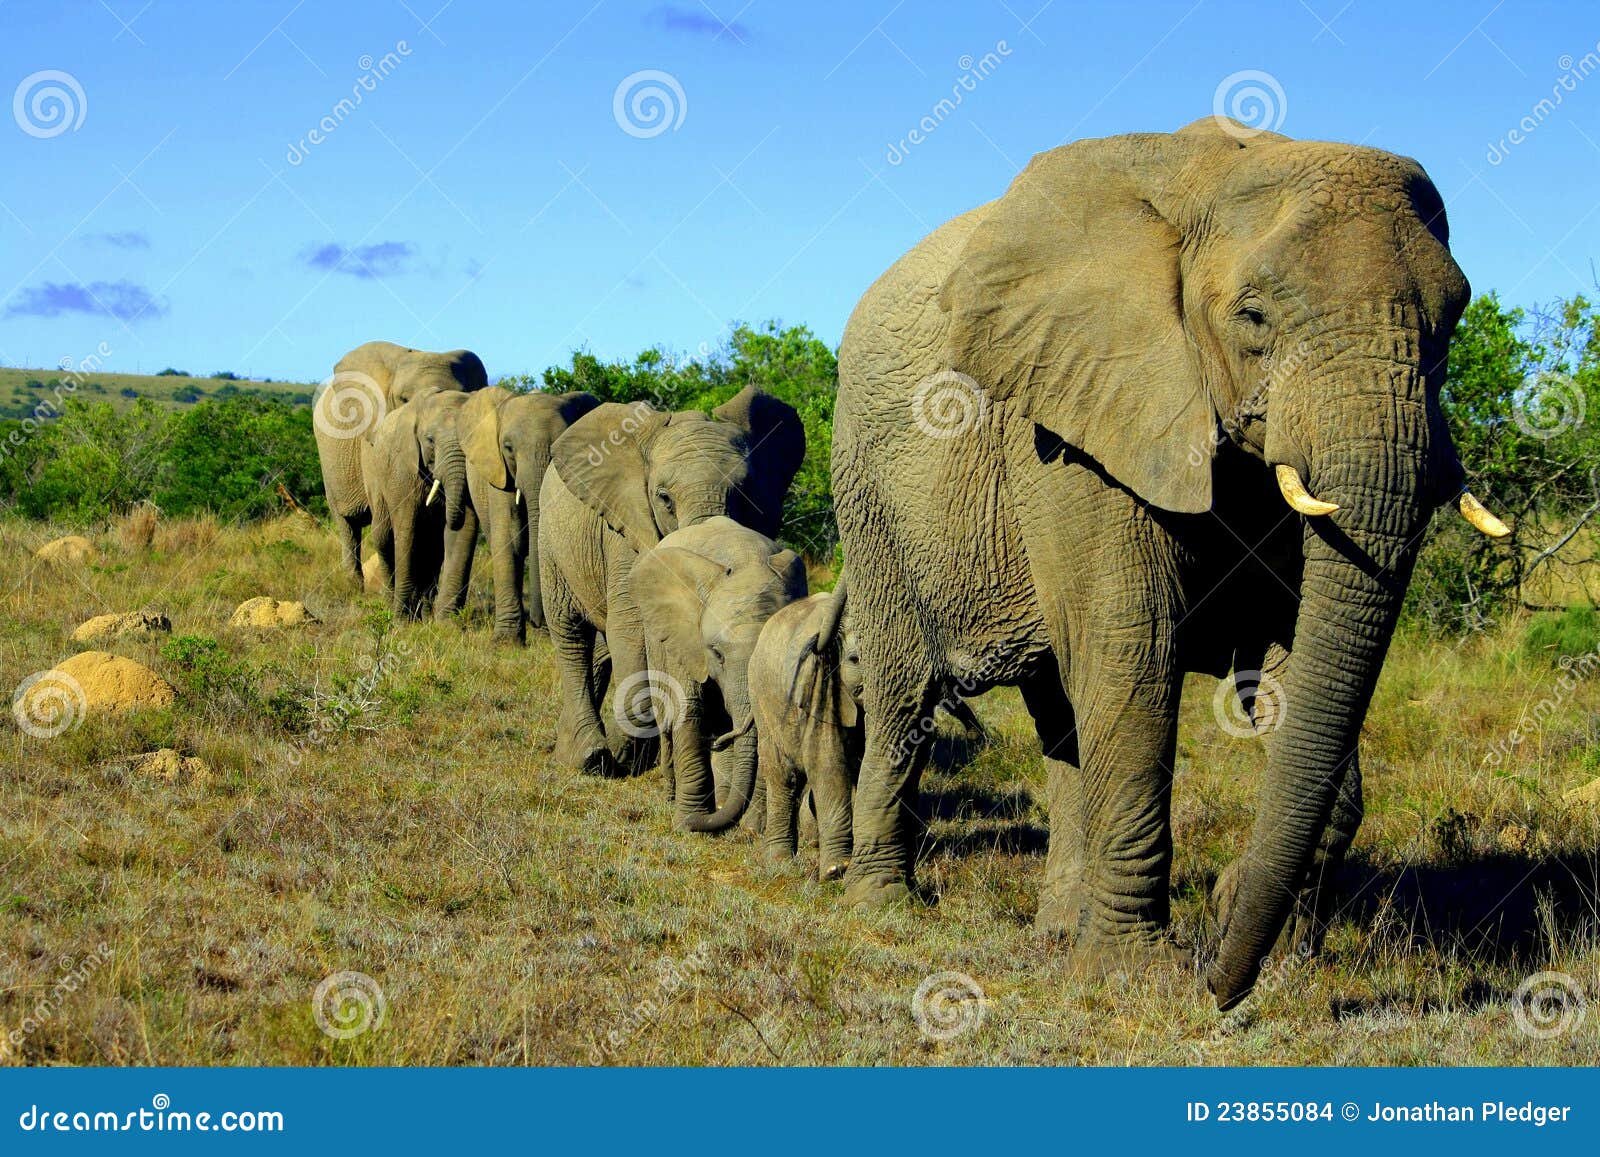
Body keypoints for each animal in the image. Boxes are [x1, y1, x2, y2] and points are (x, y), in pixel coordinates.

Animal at [361, 387, 478, 619]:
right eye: (430, 440)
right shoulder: (402, 468)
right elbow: (407, 529)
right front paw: (401, 620)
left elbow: (465, 528)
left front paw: (440, 621)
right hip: (375, 479)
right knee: (384, 537)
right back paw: (391, 605)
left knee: (432, 549)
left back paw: (423, 612)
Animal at [539, 385, 805, 785]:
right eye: (664, 498)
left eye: (746, 494)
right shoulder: (626, 529)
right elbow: (631, 629)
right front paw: (629, 757)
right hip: (550, 542)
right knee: (570, 634)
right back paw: (590, 758)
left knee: (599, 650)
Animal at [631, 517, 809, 833]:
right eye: (717, 654)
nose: (719, 742)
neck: (745, 558)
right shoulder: (686, 639)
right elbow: (688, 707)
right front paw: (687, 823)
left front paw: (752, 829)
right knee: (666, 716)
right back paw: (672, 795)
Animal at [830, 117, 1510, 1011]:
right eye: (1253, 316)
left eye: (1453, 320)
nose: (1218, 982)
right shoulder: (1079, 422)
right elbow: (1133, 650)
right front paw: (1135, 975)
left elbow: (1299, 666)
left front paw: (1265, 944)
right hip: (869, 491)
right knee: (904, 694)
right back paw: (886, 908)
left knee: (1059, 711)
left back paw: (1057, 930)